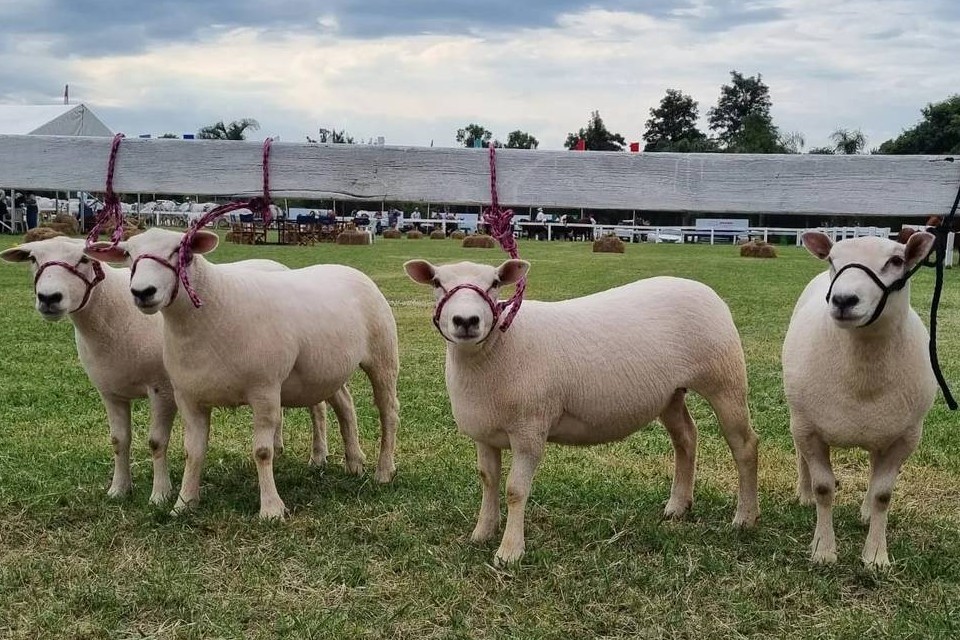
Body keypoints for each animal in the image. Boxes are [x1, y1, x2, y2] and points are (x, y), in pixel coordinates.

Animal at [1, 237, 347, 504]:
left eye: (84, 259)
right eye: (33, 259)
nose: (49, 298)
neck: (112, 316)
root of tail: (275, 263)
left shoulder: (163, 388)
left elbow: (156, 442)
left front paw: (161, 494)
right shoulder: (110, 391)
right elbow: (118, 441)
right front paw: (119, 489)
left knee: (319, 406)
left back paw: (319, 456)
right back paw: (279, 445)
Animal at [86, 227, 399, 518]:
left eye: (181, 250)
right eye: (128, 254)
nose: (143, 292)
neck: (213, 312)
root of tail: (348, 268)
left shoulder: (265, 390)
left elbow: (262, 451)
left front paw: (271, 509)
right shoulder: (188, 397)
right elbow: (193, 451)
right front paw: (184, 503)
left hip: (383, 357)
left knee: (389, 412)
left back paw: (383, 471)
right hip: (326, 371)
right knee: (345, 405)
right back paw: (354, 462)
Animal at [404, 258, 759, 565]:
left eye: (494, 283)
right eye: (437, 283)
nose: (466, 321)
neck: (498, 348)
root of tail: (704, 289)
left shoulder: (530, 430)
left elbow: (515, 490)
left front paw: (509, 551)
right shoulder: (485, 432)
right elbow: (488, 480)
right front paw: (482, 532)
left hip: (724, 379)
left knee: (745, 445)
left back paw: (745, 518)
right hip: (669, 394)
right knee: (686, 438)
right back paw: (678, 506)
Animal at [782, 231, 937, 568]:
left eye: (896, 261)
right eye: (832, 260)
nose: (843, 300)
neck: (863, 381)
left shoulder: (906, 437)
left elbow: (883, 495)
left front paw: (876, 555)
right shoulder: (809, 428)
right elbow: (824, 488)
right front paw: (823, 550)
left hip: (883, 429)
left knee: (874, 467)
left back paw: (865, 512)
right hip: (798, 417)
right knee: (801, 457)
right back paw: (804, 496)